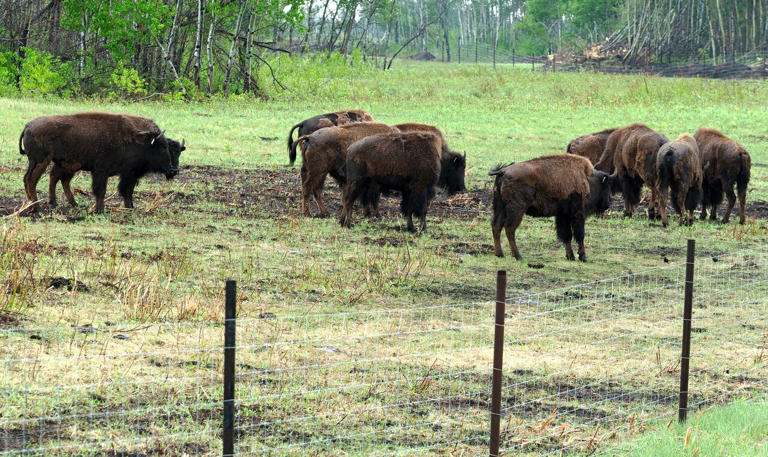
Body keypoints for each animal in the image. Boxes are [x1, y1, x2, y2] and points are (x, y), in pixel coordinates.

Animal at [19, 112, 181, 213]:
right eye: (162, 147)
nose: (173, 170)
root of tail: (27, 125)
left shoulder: (128, 174)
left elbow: (127, 191)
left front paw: (130, 207)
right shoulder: (102, 172)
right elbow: (101, 190)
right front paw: (100, 210)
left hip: (56, 163)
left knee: (42, 179)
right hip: (41, 161)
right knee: (32, 180)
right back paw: (36, 207)